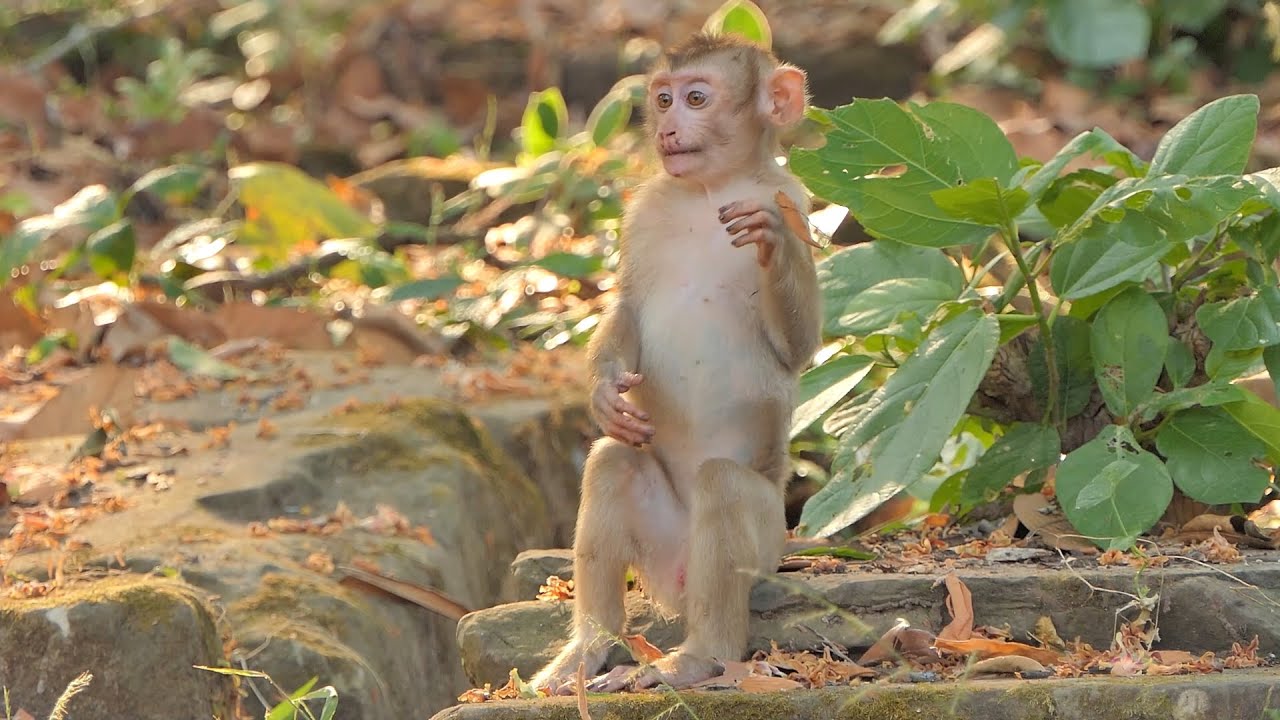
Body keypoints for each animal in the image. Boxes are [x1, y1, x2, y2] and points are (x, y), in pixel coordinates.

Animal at [531, 32, 822, 694]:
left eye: (696, 98)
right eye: (662, 99)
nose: (667, 128)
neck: (706, 192)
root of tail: (675, 588)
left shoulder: (795, 201)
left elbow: (799, 348)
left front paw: (770, 241)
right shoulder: (646, 210)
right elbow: (630, 308)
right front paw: (605, 393)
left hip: (769, 539)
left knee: (724, 488)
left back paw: (699, 655)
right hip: (658, 541)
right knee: (613, 462)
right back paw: (589, 647)